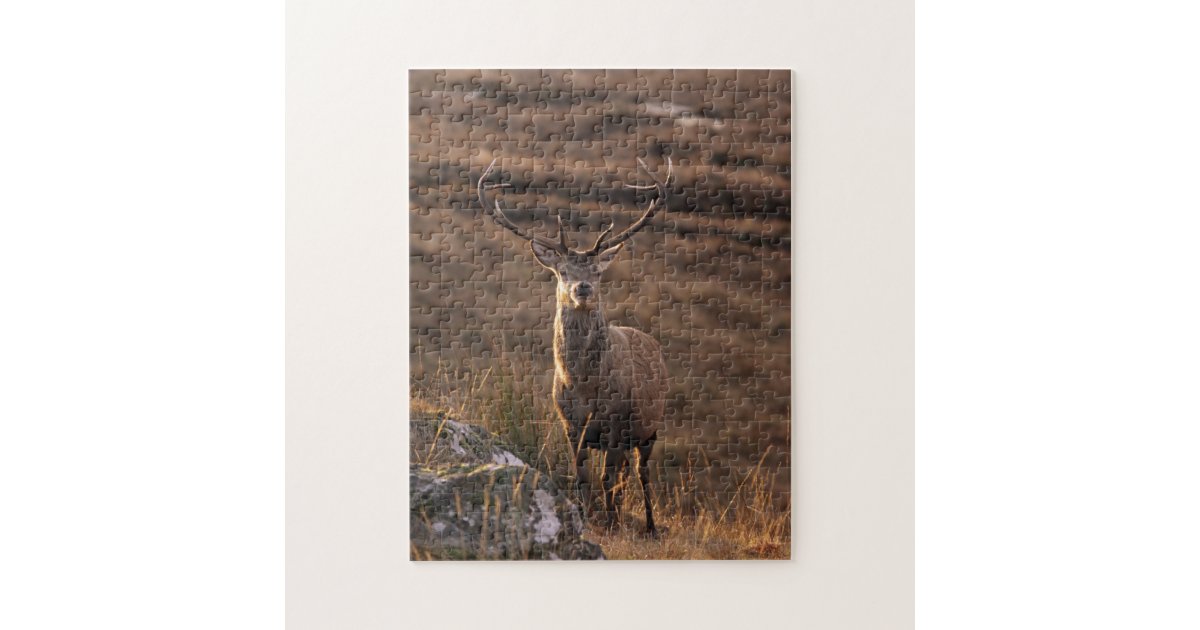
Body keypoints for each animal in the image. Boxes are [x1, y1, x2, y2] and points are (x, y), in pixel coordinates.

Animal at [476, 156, 672, 536]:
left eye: (597, 272)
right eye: (562, 271)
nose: (582, 288)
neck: (584, 386)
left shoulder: (617, 424)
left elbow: (607, 479)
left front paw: (611, 525)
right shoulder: (570, 425)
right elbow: (582, 477)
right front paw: (585, 516)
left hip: (650, 428)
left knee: (641, 474)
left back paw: (650, 526)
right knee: (625, 475)